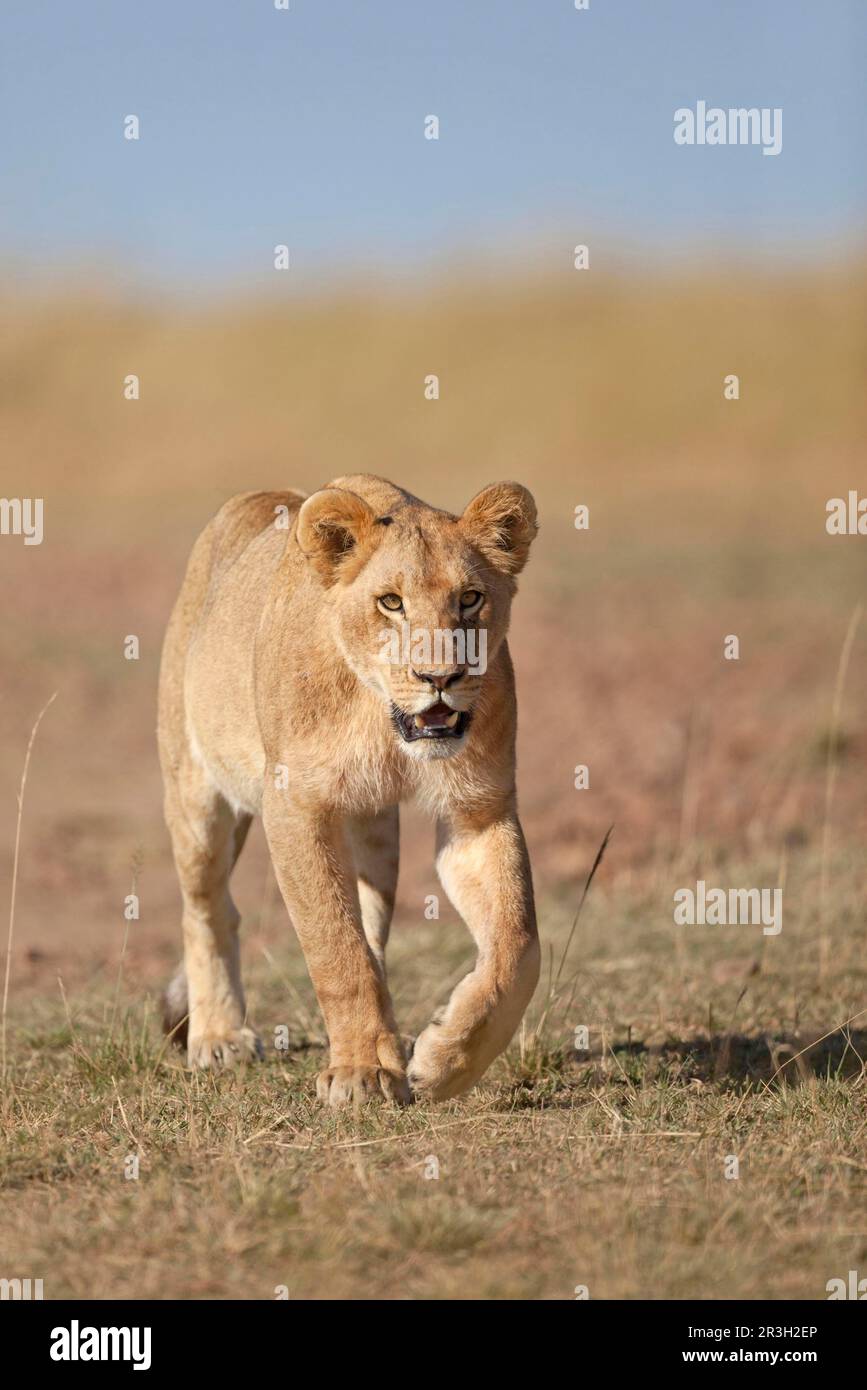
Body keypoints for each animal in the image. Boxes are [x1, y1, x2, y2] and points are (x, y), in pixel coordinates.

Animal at [158, 475, 540, 1105]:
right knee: (206, 908)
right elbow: (335, 950)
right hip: (196, 792)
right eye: (391, 602)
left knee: (372, 927)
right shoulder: (294, 807)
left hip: (374, 832)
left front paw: (446, 1061)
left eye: (469, 599)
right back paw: (218, 1036)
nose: (440, 678)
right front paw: (361, 1071)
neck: (381, 717)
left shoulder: (479, 809)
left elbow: (518, 946)